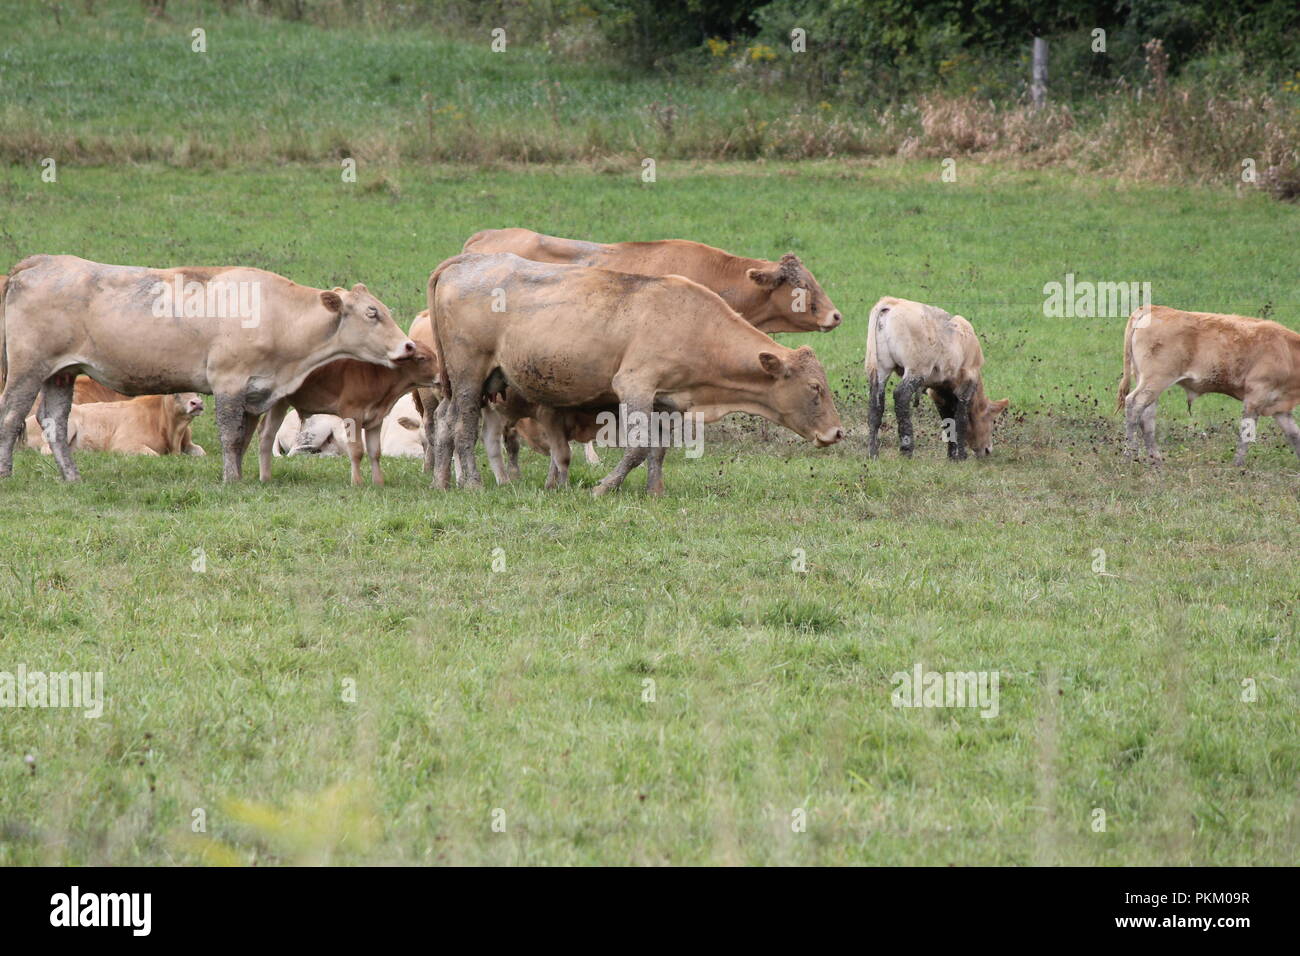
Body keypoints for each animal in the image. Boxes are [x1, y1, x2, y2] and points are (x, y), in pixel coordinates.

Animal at [25, 392, 206, 456]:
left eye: (197, 391)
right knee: (48, 450)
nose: (196, 403)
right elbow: (154, 454)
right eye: (175, 393)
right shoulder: (123, 444)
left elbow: (201, 452)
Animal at [428, 253, 844, 496]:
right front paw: (604, 486)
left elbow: (658, 449)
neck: (696, 325)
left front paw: (655, 491)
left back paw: (442, 482)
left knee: (445, 421)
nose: (837, 432)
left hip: (471, 382)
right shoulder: (634, 388)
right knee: (463, 426)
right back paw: (472, 483)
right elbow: (639, 447)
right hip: (469, 375)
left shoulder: (667, 401)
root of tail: (465, 262)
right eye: (814, 387)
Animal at [865, 296, 1009, 460]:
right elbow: (961, 418)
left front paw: (952, 455)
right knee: (901, 395)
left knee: (875, 406)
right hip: (917, 369)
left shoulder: (938, 390)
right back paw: (906, 449)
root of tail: (891, 302)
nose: (988, 449)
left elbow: (948, 420)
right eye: (992, 420)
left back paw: (873, 453)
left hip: (880, 367)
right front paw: (961, 456)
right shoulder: (968, 380)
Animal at [1117, 305, 1300, 465]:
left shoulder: (1279, 406)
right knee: (1134, 404)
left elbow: (1294, 434)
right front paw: (1238, 463)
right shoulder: (1255, 396)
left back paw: (1155, 458)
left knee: (1147, 416)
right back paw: (1130, 454)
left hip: (1147, 381)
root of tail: (1154, 308)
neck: (1287, 351)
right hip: (1155, 379)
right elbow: (1247, 432)